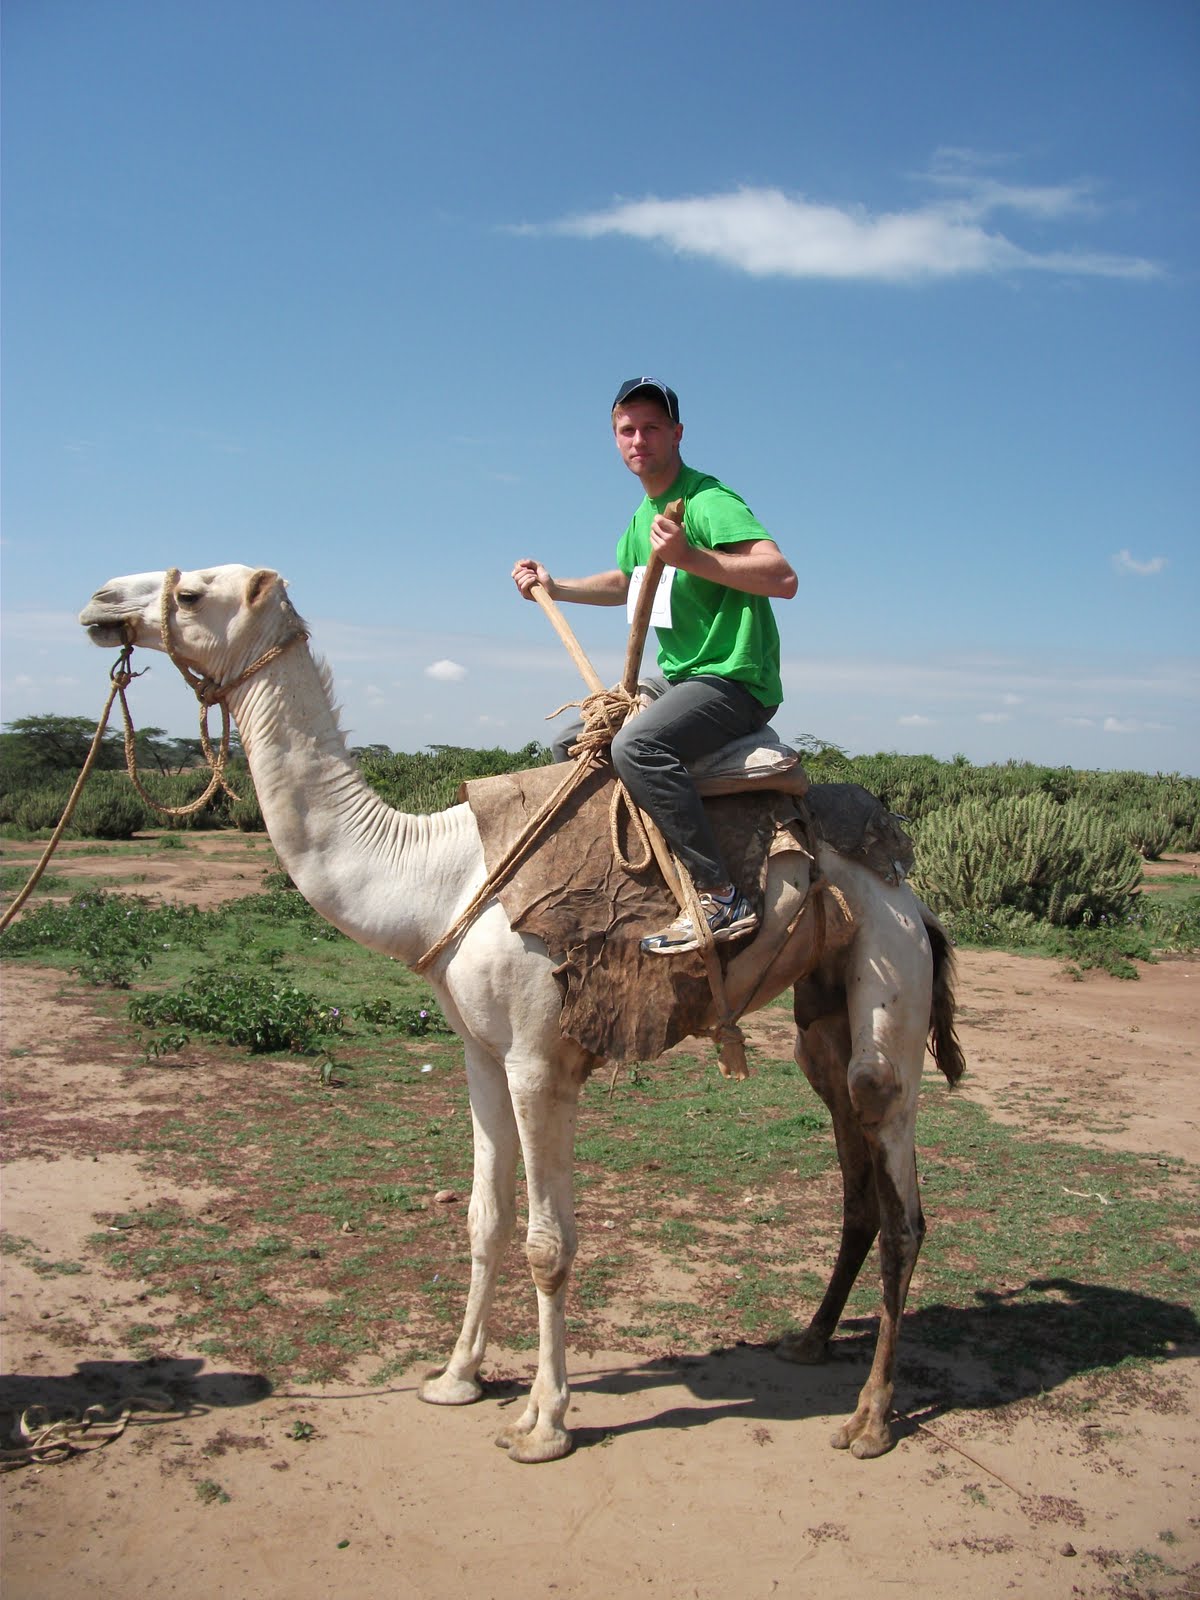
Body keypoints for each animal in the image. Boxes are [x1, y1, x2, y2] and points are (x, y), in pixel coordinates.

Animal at [79, 564, 964, 1463]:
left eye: (194, 592)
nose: (102, 601)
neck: (433, 879)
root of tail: (911, 895)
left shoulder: (541, 1061)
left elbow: (550, 1245)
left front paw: (544, 1421)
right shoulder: (480, 1051)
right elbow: (485, 1219)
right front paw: (455, 1378)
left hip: (889, 970)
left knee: (899, 1185)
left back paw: (870, 1417)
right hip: (821, 1013)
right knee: (853, 1170)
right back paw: (811, 1339)